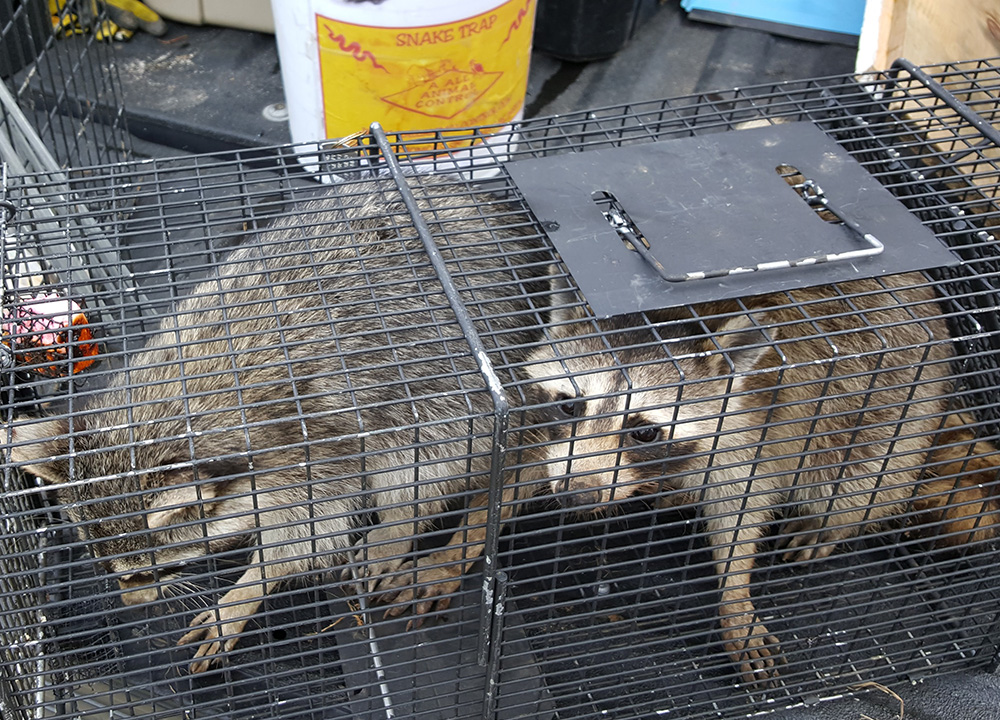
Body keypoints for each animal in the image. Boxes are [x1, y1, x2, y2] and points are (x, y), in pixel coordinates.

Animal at [8, 177, 556, 673]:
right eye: (109, 568)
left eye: (158, 570)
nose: (135, 604)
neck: (160, 411)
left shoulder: (313, 449)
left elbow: (309, 534)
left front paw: (247, 588)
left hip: (454, 379)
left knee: (428, 458)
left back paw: (404, 524)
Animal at [380, 272, 1000, 686]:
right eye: (570, 405)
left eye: (645, 431)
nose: (578, 495)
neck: (669, 318)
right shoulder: (548, 429)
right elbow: (522, 470)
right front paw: (456, 549)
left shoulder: (753, 426)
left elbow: (741, 506)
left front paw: (735, 597)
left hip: (895, 403)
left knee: (855, 481)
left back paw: (834, 523)